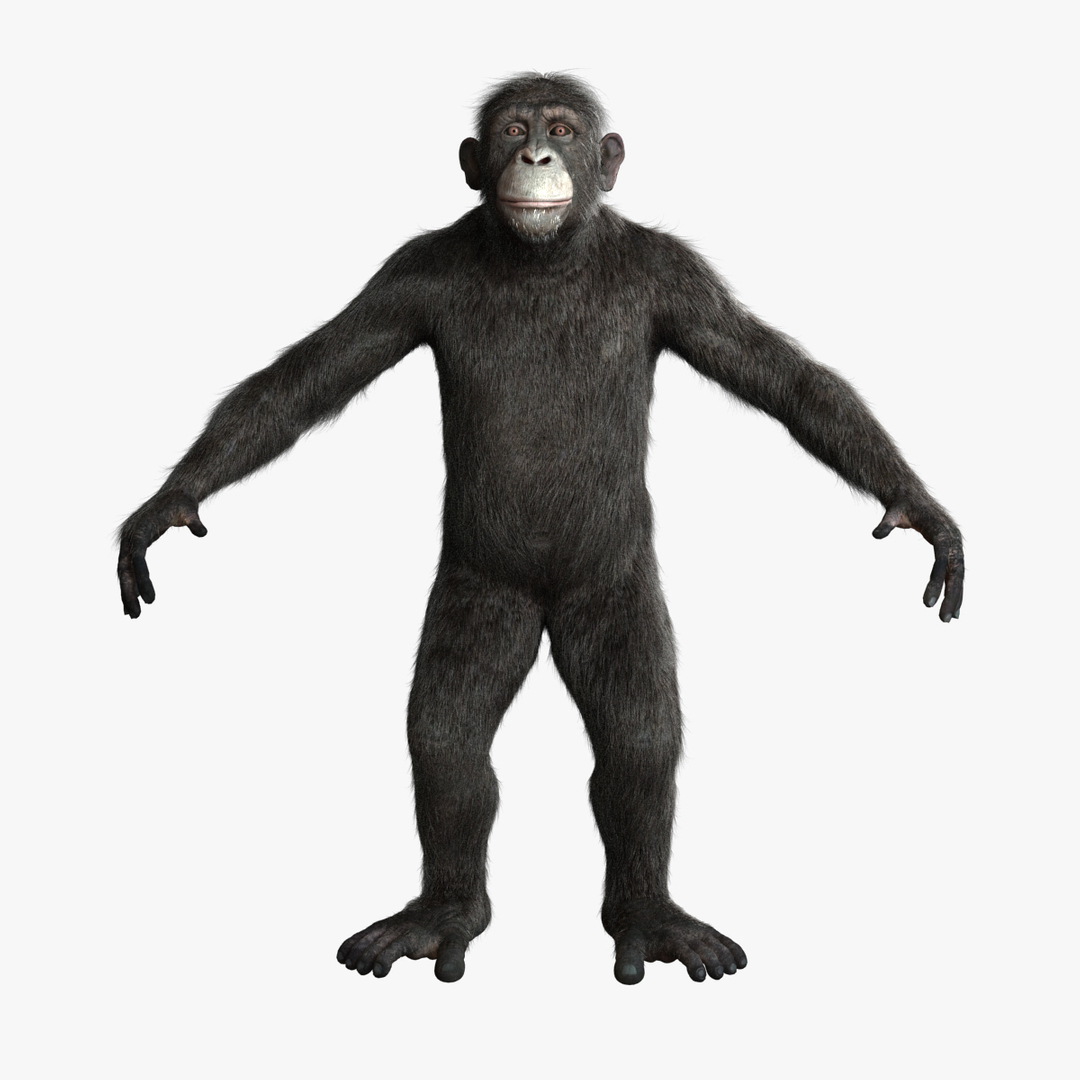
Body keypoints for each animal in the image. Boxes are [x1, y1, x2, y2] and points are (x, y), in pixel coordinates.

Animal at [117, 73, 964, 985]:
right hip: (485, 590)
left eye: (561, 129)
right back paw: (445, 913)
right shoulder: (405, 278)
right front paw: (167, 507)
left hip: (612, 586)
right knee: (449, 737)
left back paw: (648, 917)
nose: (534, 157)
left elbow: (779, 374)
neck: (547, 259)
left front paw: (920, 511)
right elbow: (314, 370)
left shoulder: (680, 279)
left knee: (635, 740)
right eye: (512, 129)